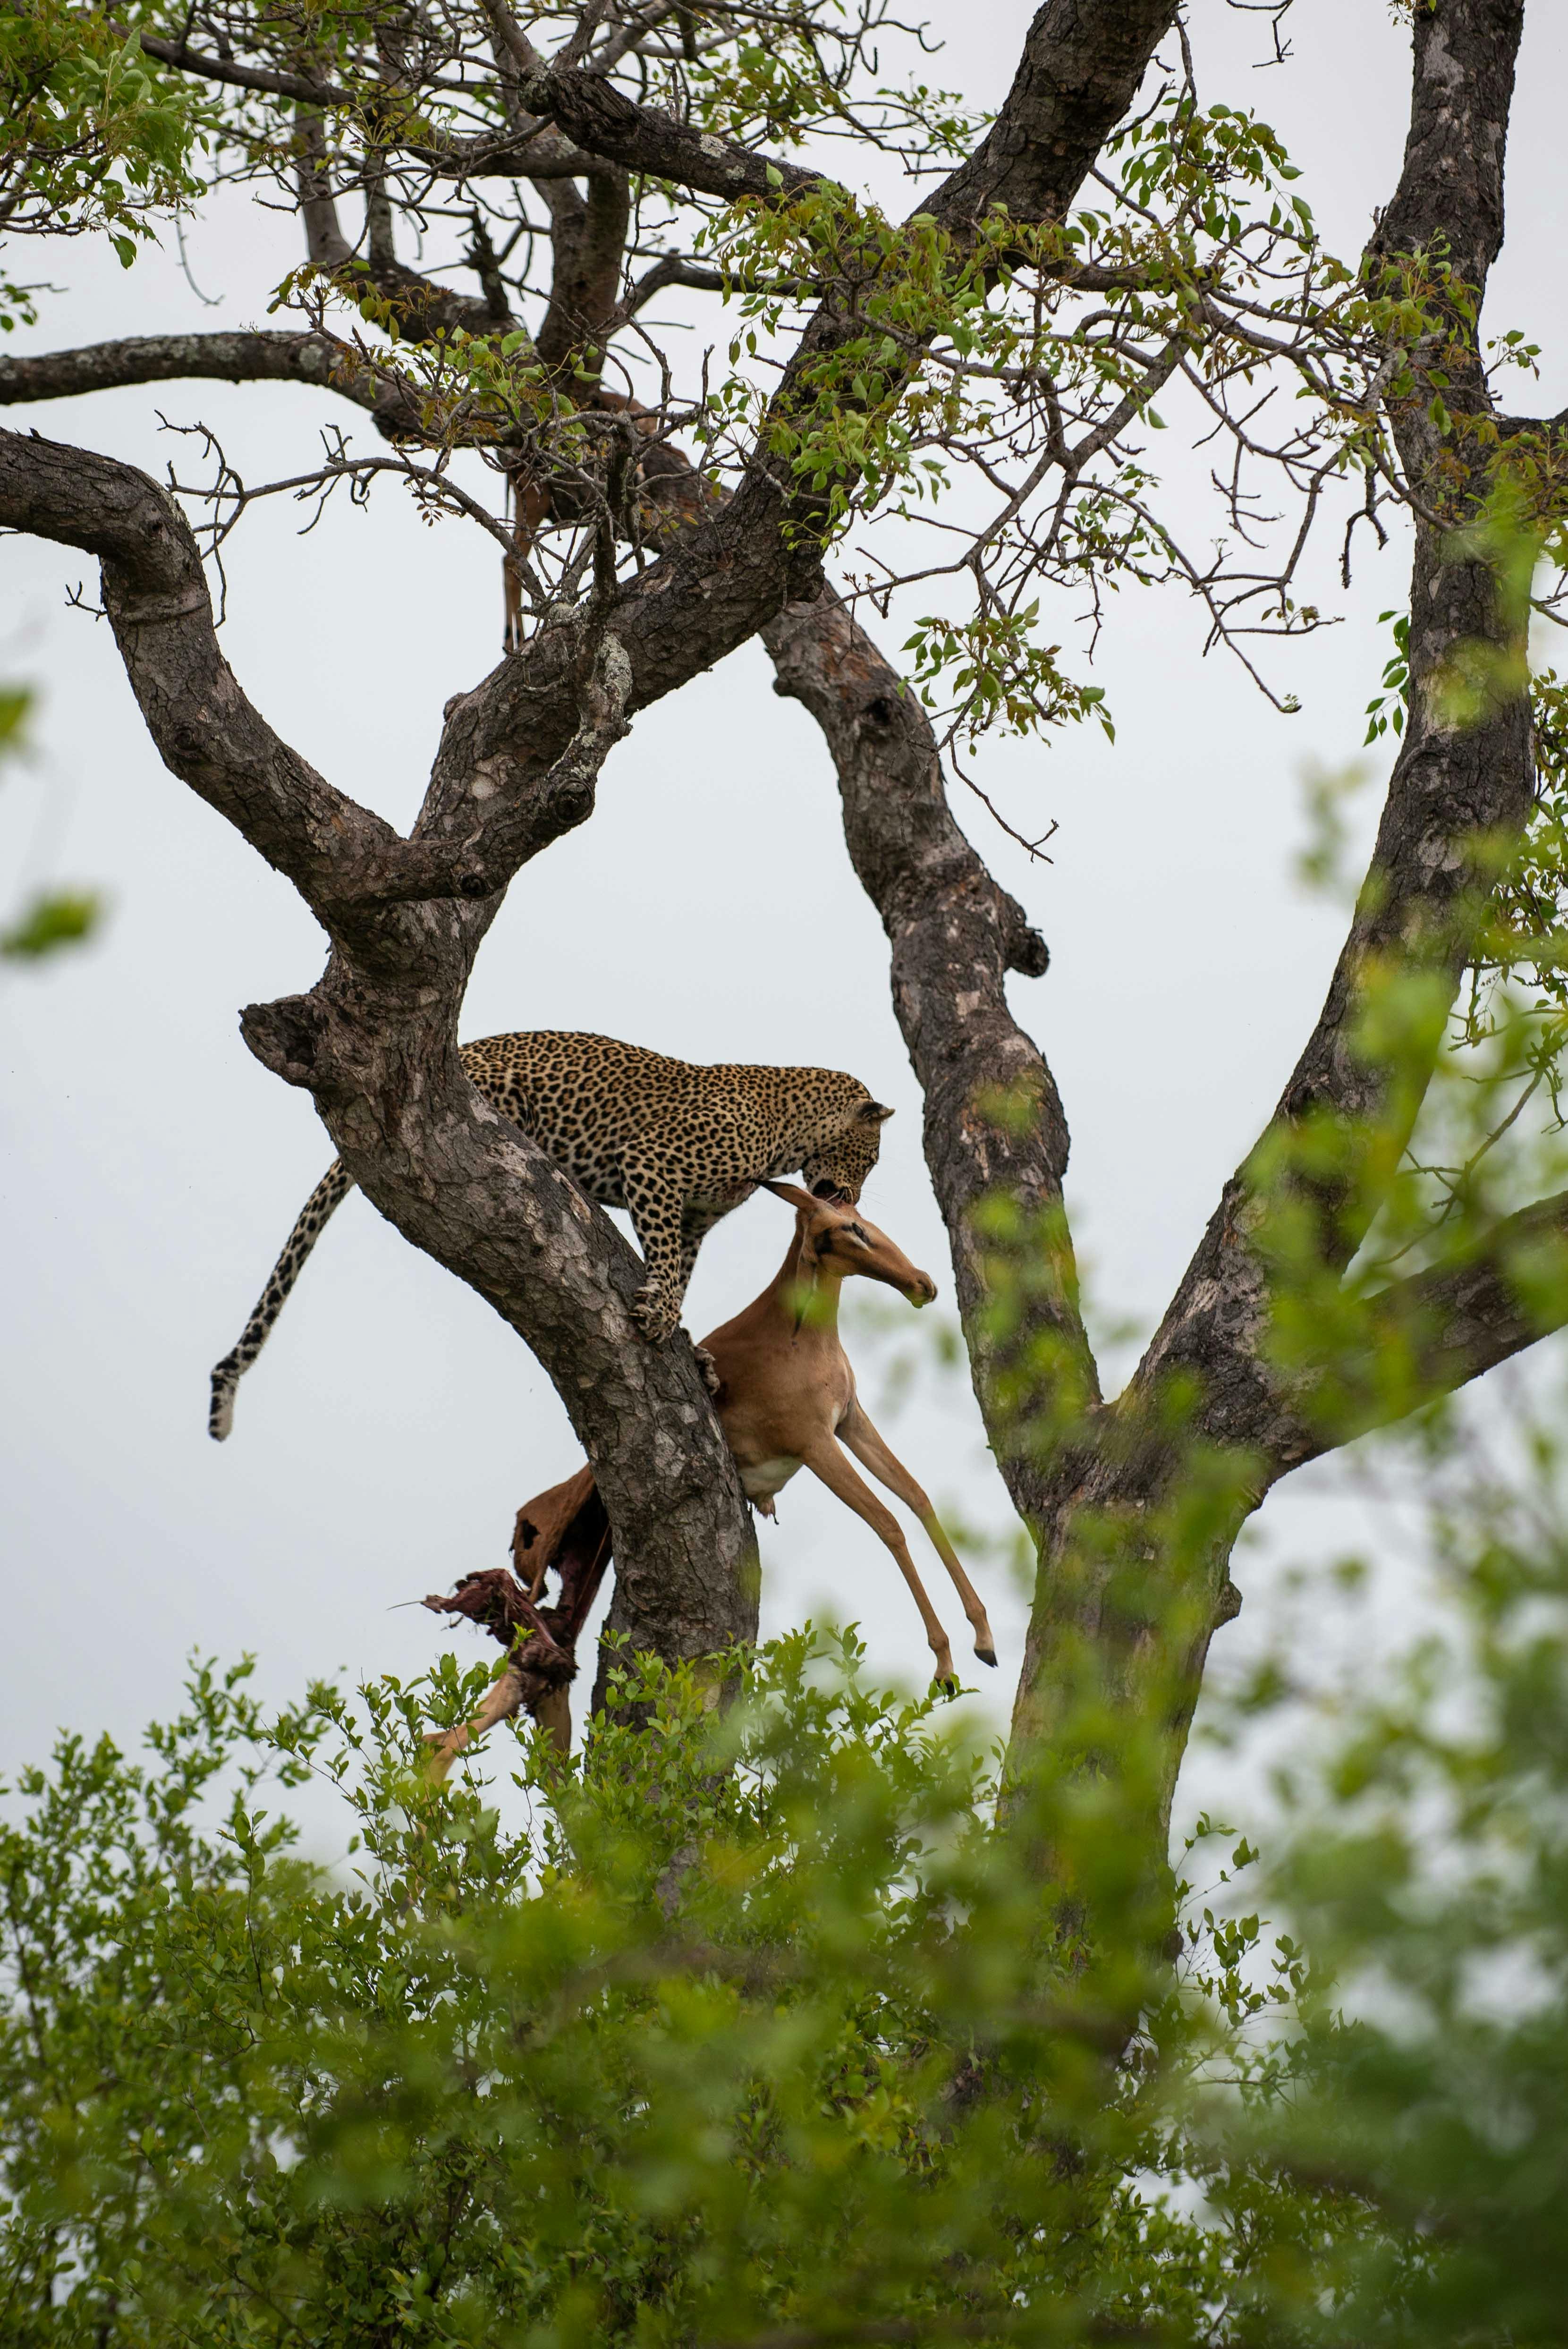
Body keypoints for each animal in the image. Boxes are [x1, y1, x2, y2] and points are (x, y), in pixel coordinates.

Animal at [208, 1030, 894, 1440]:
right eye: (872, 1158)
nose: (855, 1198)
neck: (786, 1137)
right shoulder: (653, 1168)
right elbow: (665, 1261)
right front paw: (662, 1314)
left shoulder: (694, 1216)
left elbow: (681, 1267)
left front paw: (690, 1343)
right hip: (499, 1086)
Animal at [424, 1182, 997, 1771]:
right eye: (848, 1228)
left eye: (863, 1216)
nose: (924, 1283)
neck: (801, 1339)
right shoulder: (816, 1444)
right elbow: (889, 1525)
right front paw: (946, 1666)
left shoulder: (851, 1420)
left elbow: (919, 1498)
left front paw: (985, 1639)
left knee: (548, 1651)